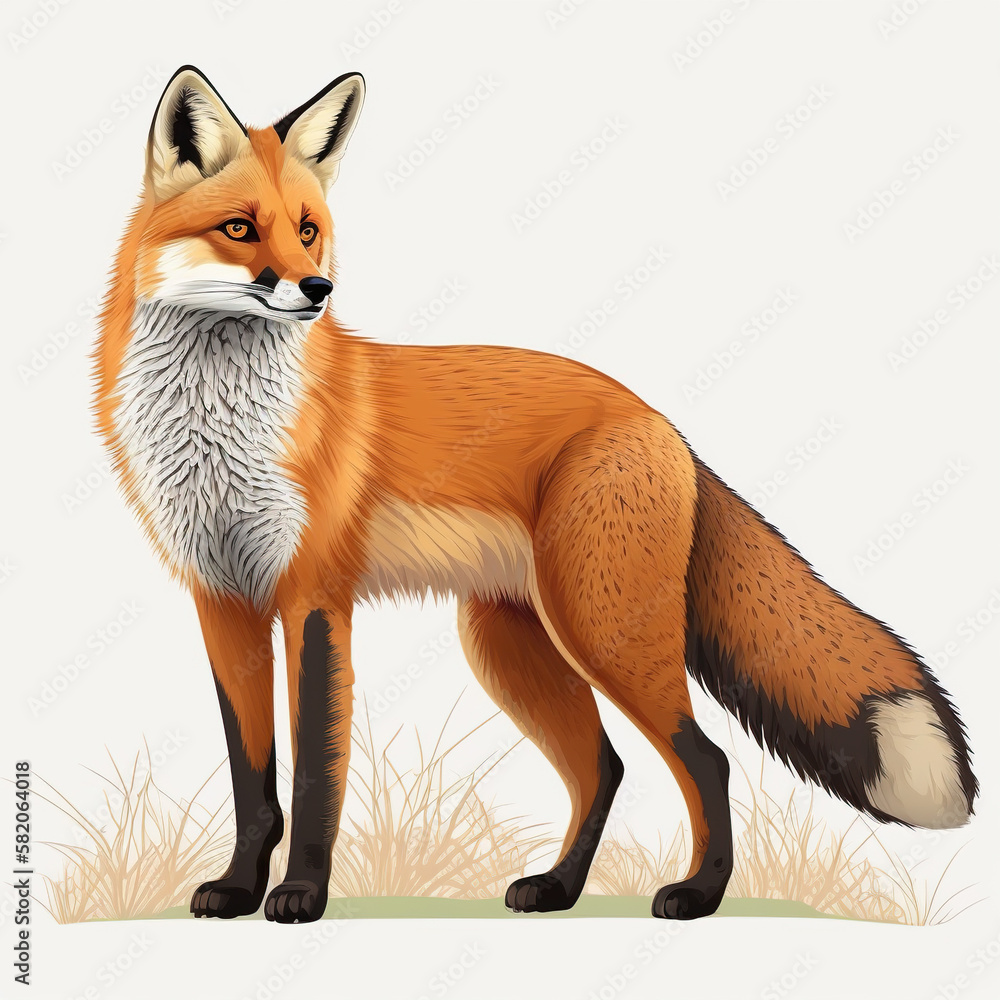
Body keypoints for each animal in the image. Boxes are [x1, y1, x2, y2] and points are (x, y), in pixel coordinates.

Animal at [92, 66, 977, 924]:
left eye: (307, 228)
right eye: (241, 229)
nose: (316, 288)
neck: (220, 432)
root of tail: (658, 420)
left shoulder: (314, 597)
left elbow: (314, 774)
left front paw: (301, 896)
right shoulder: (224, 601)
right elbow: (252, 783)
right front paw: (238, 889)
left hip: (600, 627)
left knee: (707, 760)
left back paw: (698, 894)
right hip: (512, 643)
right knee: (604, 767)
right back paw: (557, 889)